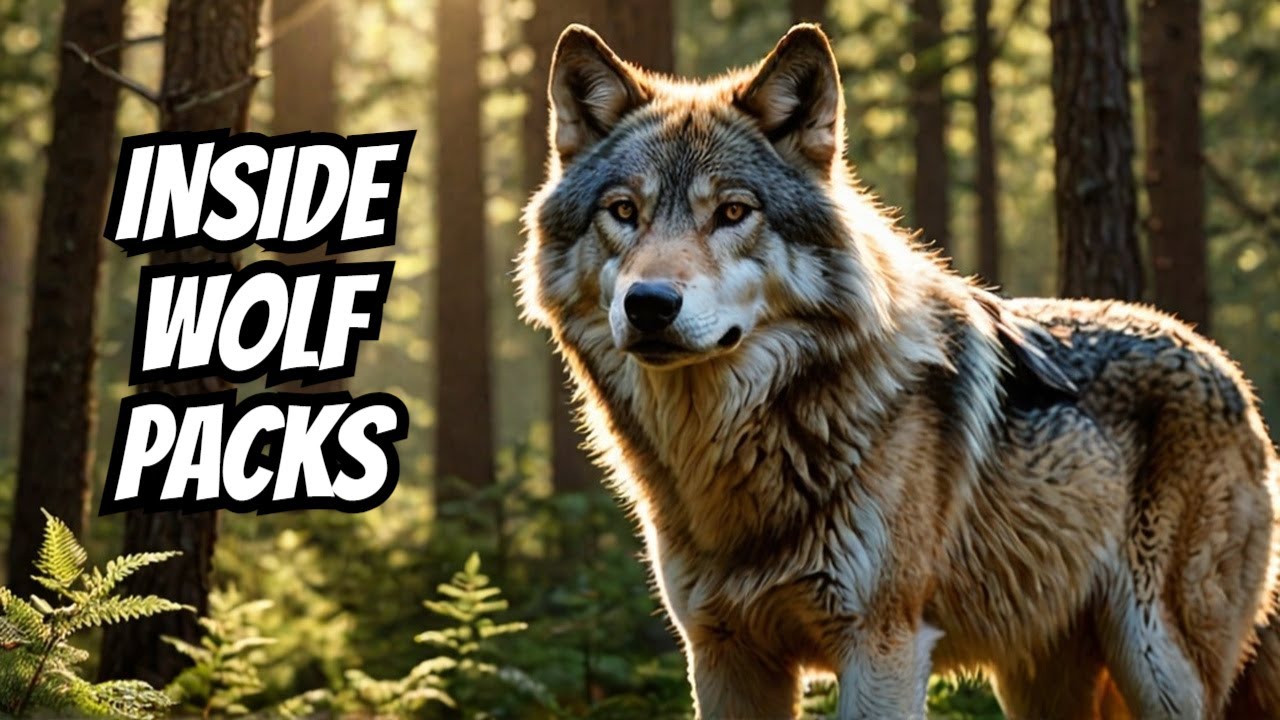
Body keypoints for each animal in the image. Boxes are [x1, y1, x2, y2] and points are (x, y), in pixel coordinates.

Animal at [516, 22, 1280, 720]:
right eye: (624, 211)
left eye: (733, 211)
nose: (648, 304)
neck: (738, 458)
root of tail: (1225, 367)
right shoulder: (722, 651)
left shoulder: (883, 646)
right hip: (1044, 680)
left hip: (1158, 665)